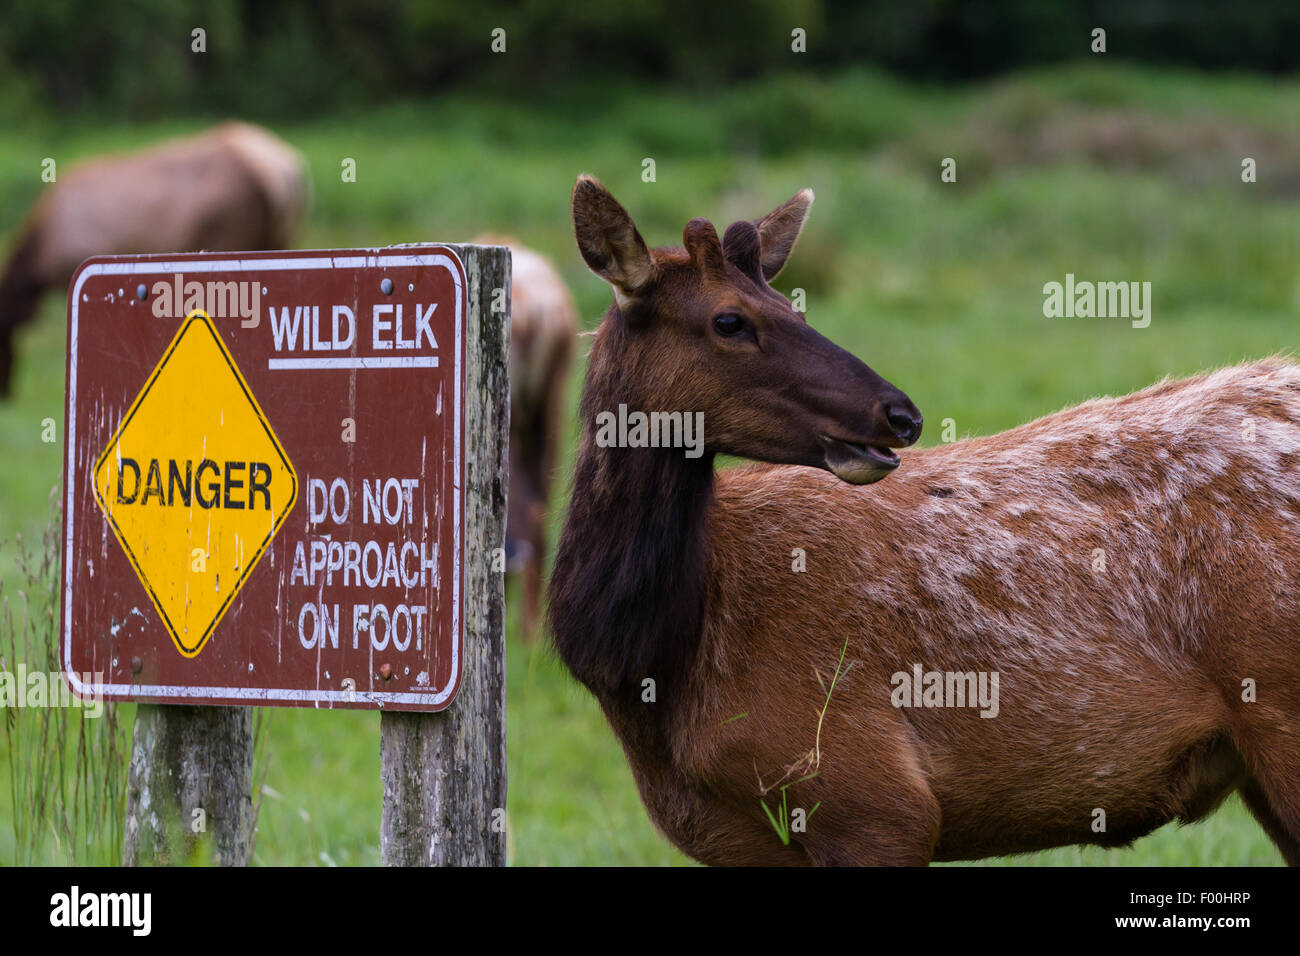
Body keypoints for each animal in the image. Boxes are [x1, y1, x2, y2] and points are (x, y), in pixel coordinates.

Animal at [0, 122, 308, 395]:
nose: (8, 392)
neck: (38, 254)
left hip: (233, 236)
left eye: (5, 336)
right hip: (281, 238)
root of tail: (283, 174)